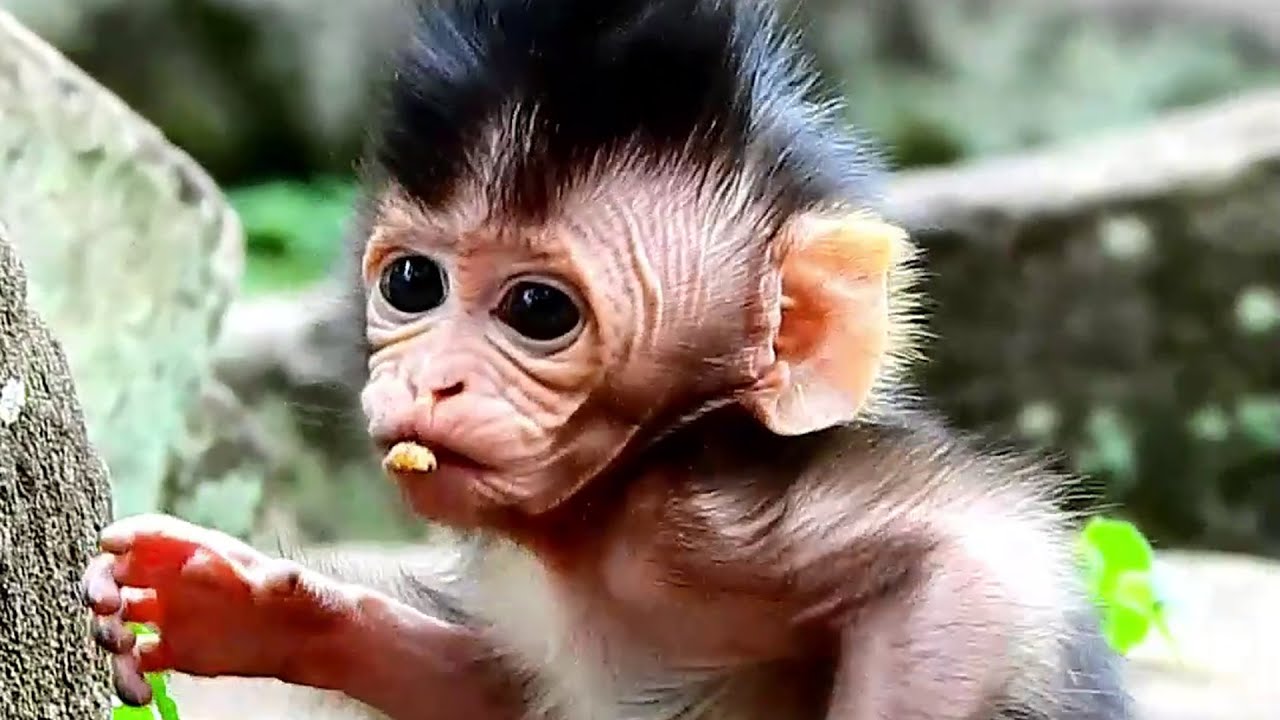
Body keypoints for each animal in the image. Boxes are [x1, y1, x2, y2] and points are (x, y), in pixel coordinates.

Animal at [79, 1, 1135, 719]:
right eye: (413, 283)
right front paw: (231, 603)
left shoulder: (700, 519)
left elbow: (973, 566)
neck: (589, 531)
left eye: (538, 310)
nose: (429, 380)